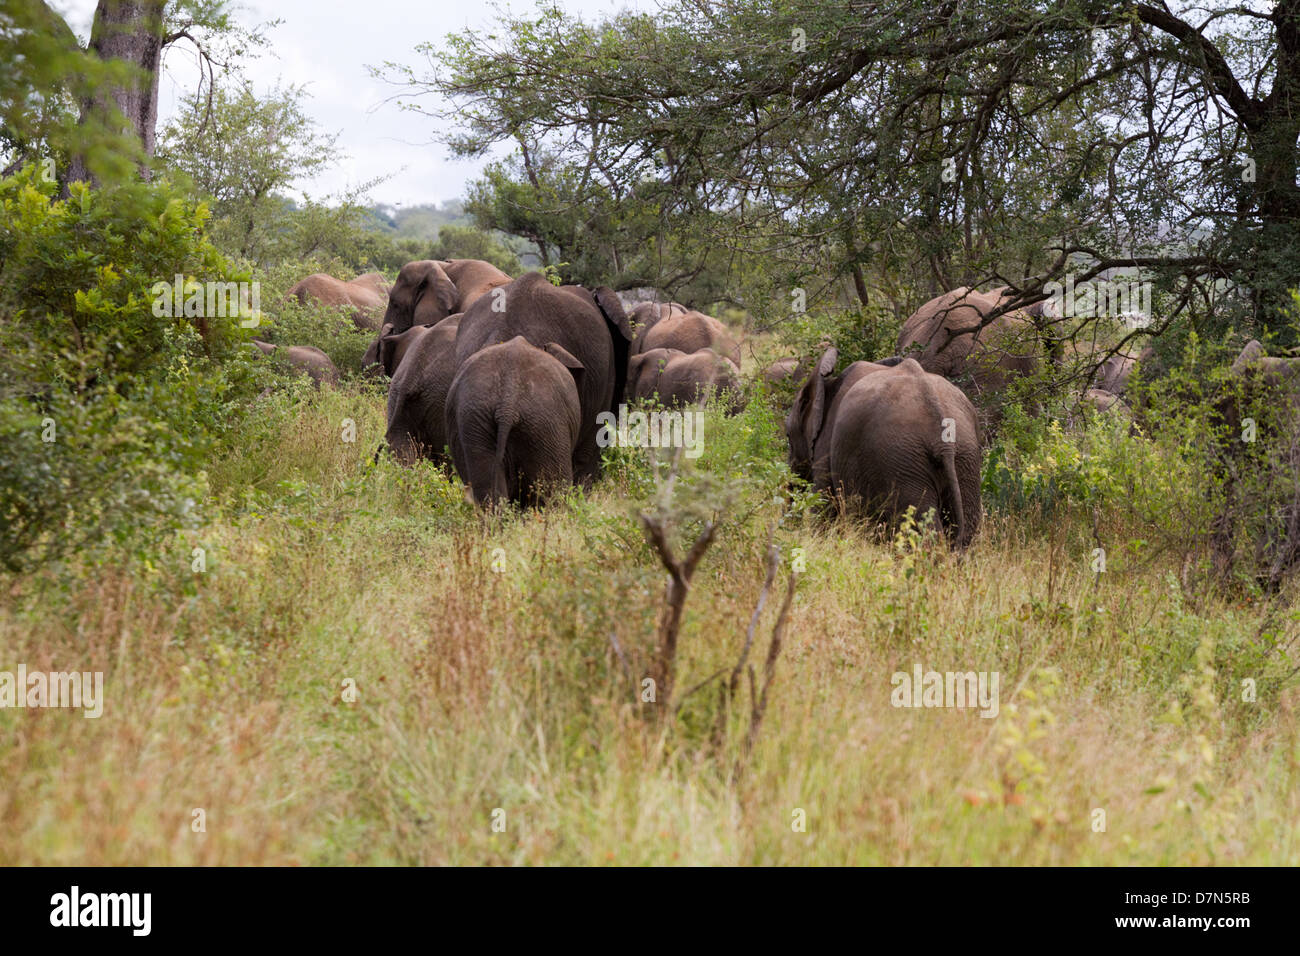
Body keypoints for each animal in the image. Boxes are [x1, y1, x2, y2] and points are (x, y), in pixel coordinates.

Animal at [786, 348, 982, 547]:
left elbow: (824, 505)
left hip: (902, 461)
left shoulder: (825, 445)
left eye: (787, 436)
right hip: (965, 456)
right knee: (967, 524)